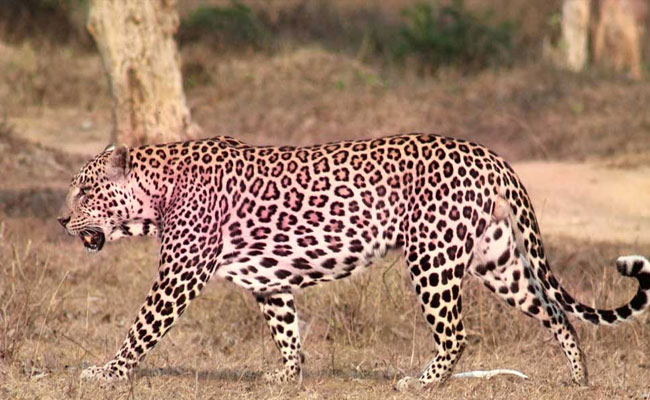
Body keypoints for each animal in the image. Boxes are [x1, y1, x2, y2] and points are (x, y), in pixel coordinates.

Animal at [57, 133, 650, 389]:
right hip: (497, 259)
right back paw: (579, 377)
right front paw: (288, 374)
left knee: (458, 333)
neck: (155, 192)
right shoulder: (269, 279)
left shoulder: (179, 274)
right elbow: (286, 329)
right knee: (557, 312)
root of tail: (489, 155)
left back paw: (421, 382)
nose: (61, 220)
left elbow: (141, 328)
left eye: (84, 190)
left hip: (432, 258)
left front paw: (106, 371)